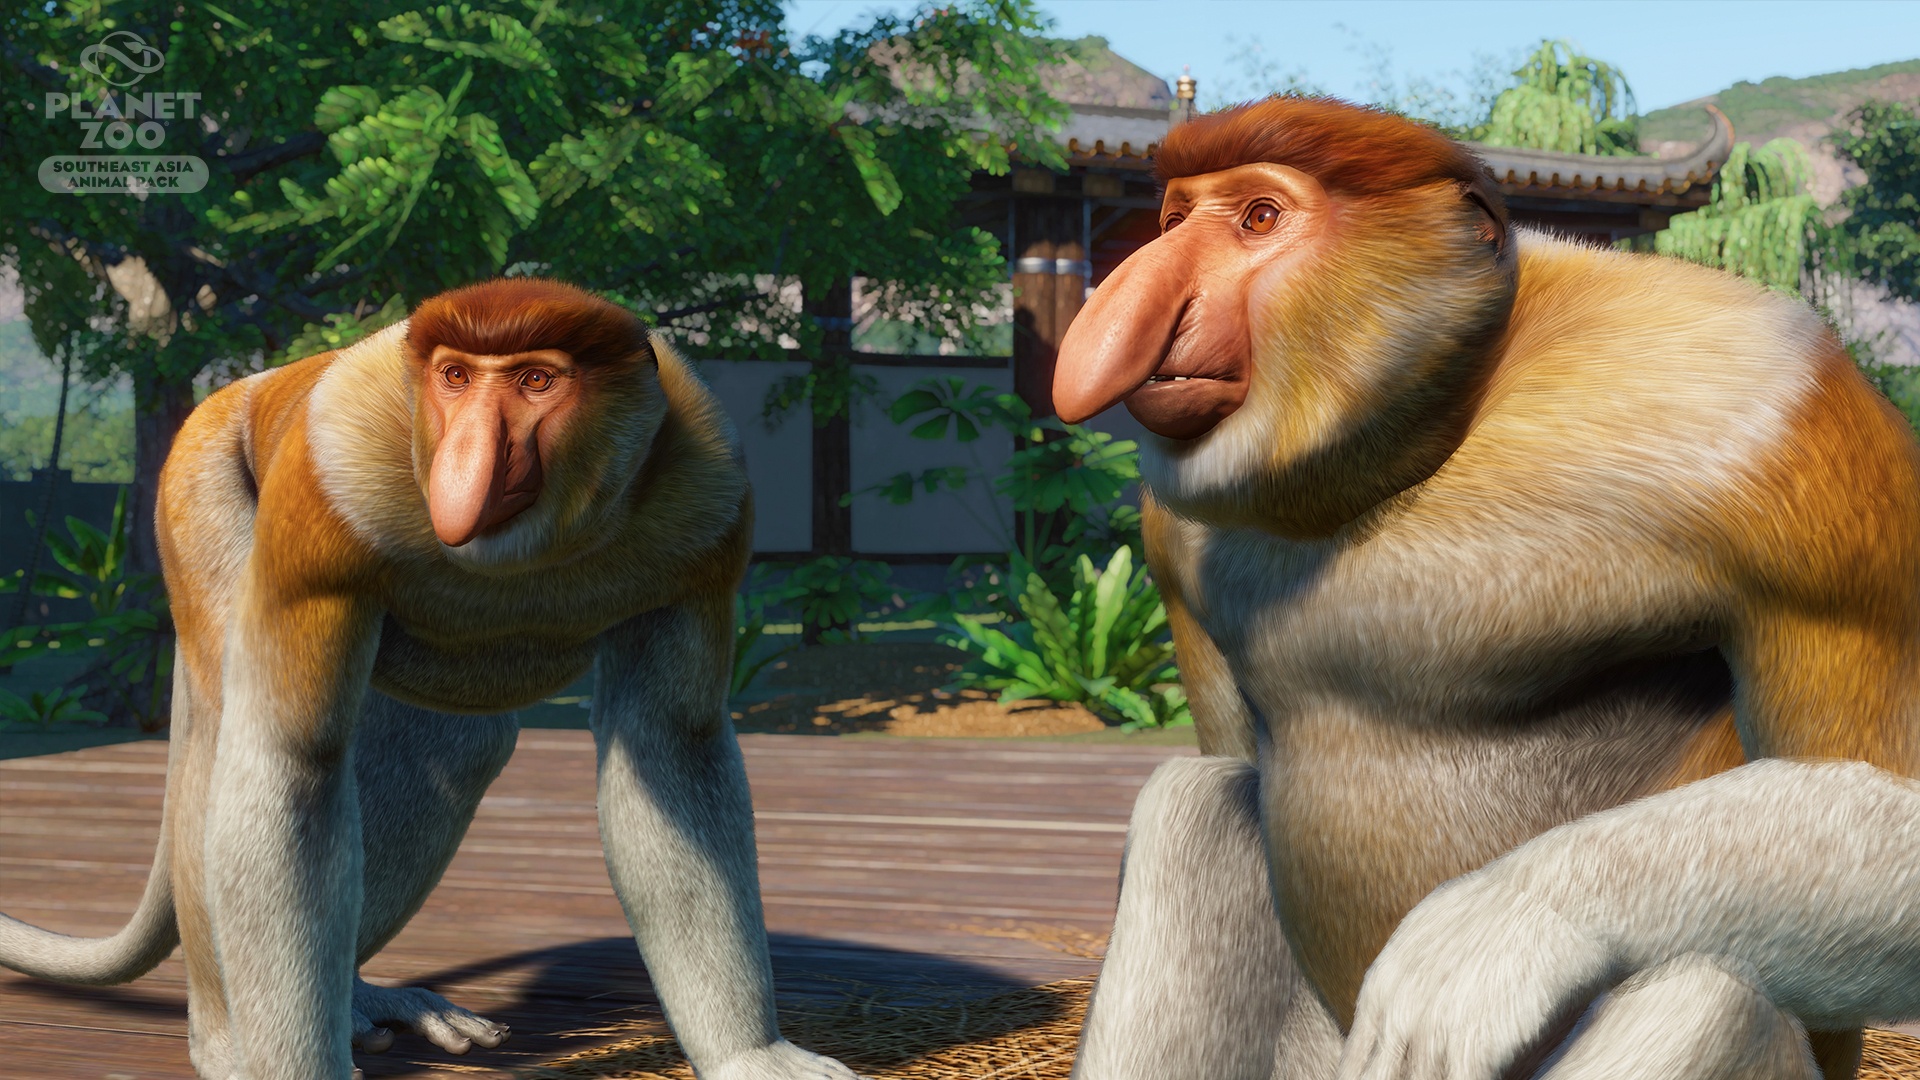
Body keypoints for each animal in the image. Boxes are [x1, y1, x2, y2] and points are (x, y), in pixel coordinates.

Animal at [0, 278, 860, 1080]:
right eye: (455, 377)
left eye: (536, 381)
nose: (468, 463)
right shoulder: (325, 510)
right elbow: (289, 764)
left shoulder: (706, 519)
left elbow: (668, 751)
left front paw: (751, 1052)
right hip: (201, 487)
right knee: (230, 750)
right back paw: (227, 1041)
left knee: (449, 748)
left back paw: (357, 999)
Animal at [1050, 96, 1920, 1080]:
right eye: (1171, 221)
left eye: (1259, 219)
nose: (1120, 314)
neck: (1433, 432)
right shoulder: (1168, 535)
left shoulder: (1769, 423)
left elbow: (1893, 803)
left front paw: (1488, 938)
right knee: (1197, 807)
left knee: (1707, 993)